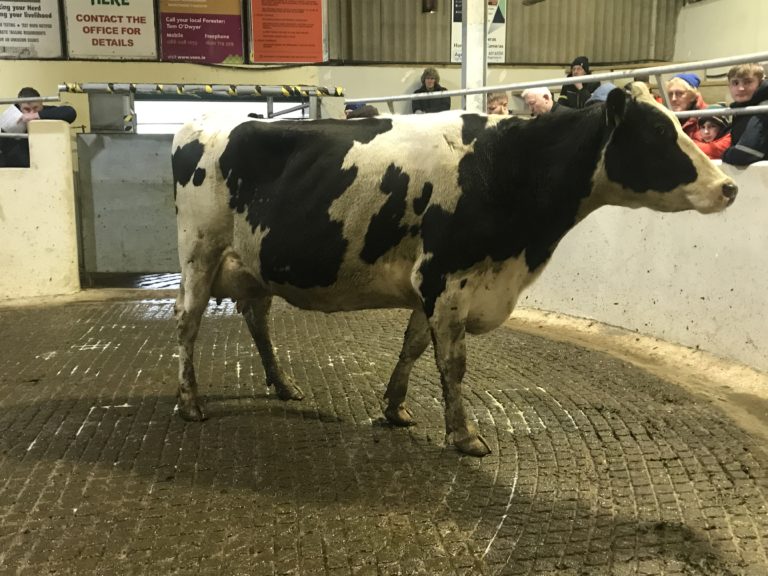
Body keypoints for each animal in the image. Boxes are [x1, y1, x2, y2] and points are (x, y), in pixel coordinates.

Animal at [171, 83, 737, 457]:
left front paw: (395, 408)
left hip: (253, 263)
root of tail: (204, 121)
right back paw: (190, 402)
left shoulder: (436, 282)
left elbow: (414, 347)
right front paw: (464, 435)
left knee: (256, 318)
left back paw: (283, 384)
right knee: (187, 321)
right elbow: (453, 361)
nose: (729, 186)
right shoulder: (446, 276)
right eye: (659, 132)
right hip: (199, 251)